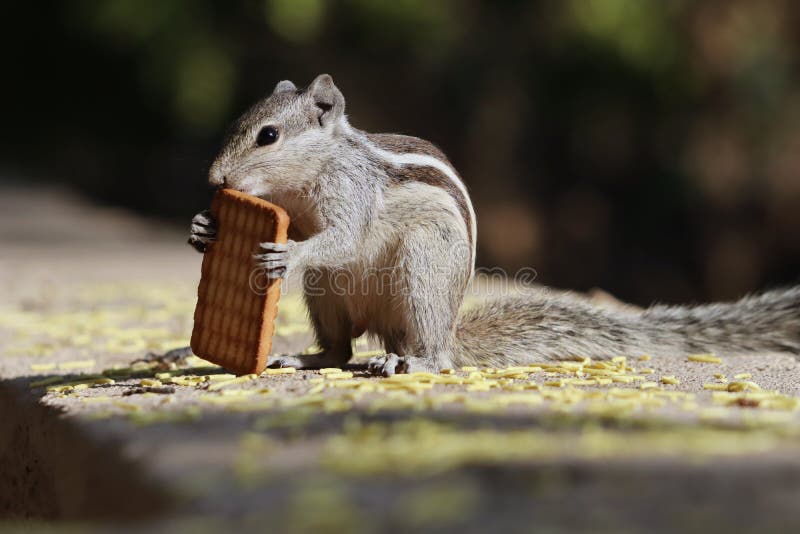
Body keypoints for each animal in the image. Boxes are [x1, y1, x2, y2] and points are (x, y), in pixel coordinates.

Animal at [186, 73, 800, 376]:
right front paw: (203, 228)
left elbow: (339, 239)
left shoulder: (351, 197)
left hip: (422, 268)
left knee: (428, 355)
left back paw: (409, 362)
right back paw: (307, 356)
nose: (214, 179)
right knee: (339, 351)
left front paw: (287, 253)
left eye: (268, 136)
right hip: (328, 297)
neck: (310, 175)